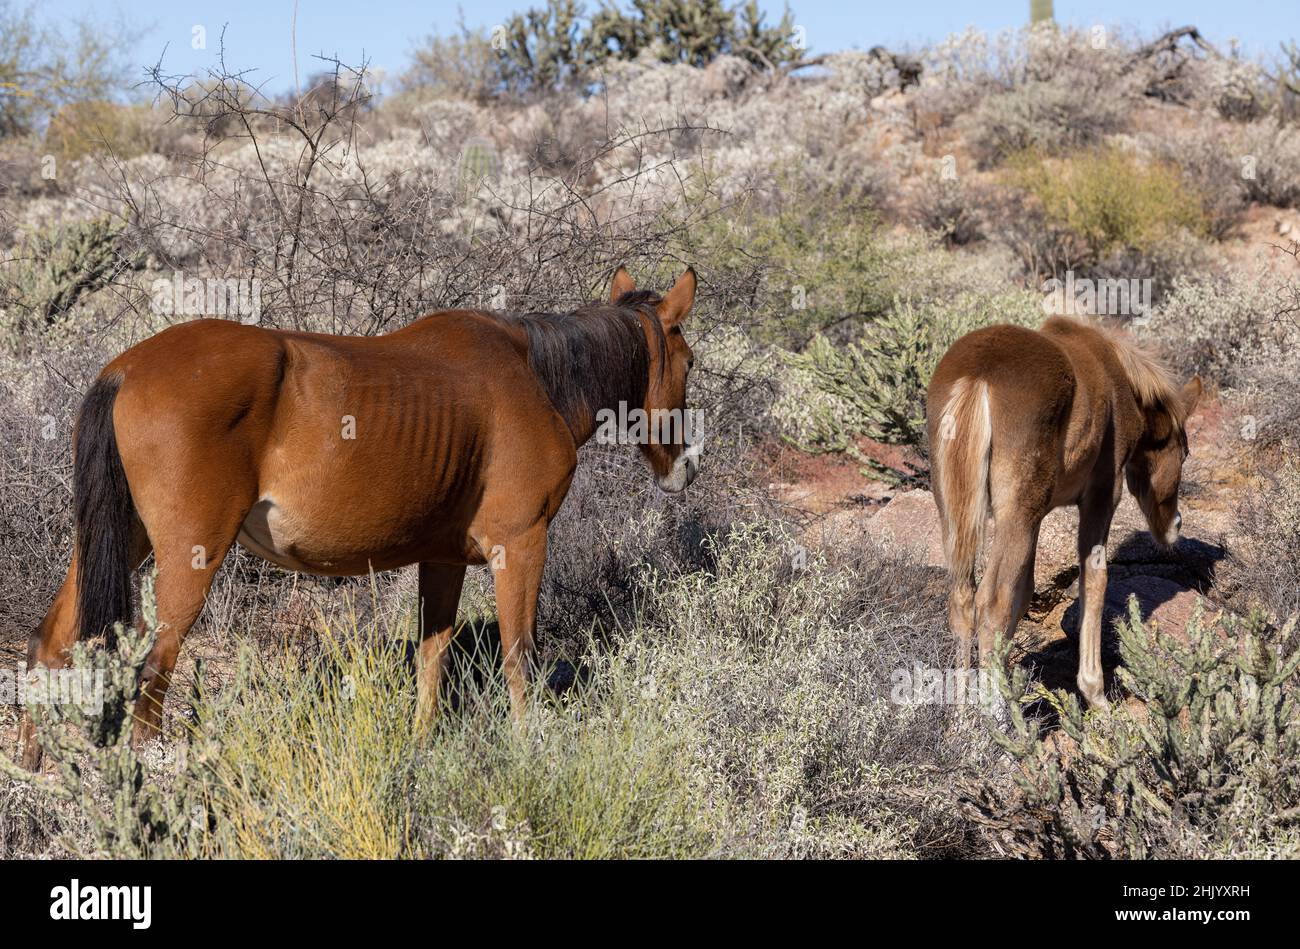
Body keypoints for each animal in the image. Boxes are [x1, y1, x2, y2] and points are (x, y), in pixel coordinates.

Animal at [19, 266, 700, 770]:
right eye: (689, 364)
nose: (688, 466)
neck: (534, 376)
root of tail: (125, 368)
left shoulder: (443, 560)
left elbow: (432, 656)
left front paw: (422, 749)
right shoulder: (522, 545)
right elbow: (518, 657)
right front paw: (529, 747)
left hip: (115, 542)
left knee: (50, 642)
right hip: (188, 560)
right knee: (153, 673)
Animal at [925, 315, 1201, 708]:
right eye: (1185, 451)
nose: (1174, 525)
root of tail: (977, 376)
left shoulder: (1037, 517)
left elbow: (1024, 593)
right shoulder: (1102, 495)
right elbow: (1095, 579)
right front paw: (1095, 694)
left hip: (961, 514)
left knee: (963, 600)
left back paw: (964, 715)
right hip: (1015, 516)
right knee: (990, 605)